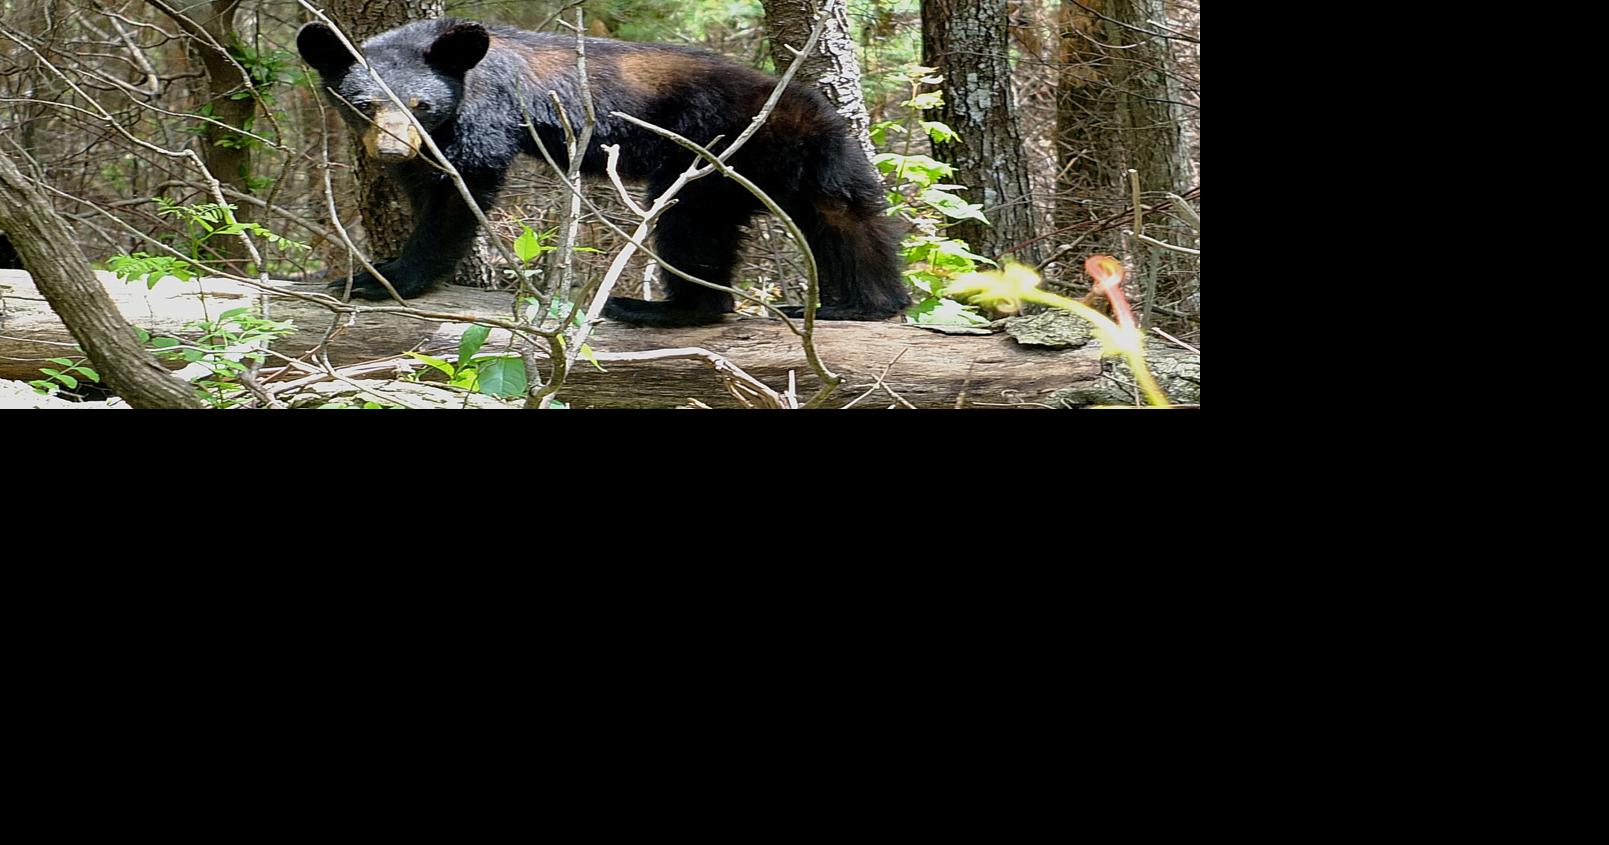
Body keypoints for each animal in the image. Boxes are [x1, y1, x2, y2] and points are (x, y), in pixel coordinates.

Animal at [295, 17, 909, 327]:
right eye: (362, 104)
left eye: (421, 105)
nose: (392, 150)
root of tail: (807, 117)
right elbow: (430, 185)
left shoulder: (485, 106)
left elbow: (462, 185)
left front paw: (387, 277)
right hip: (810, 174)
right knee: (849, 224)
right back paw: (863, 303)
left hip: (714, 159)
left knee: (690, 226)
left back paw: (657, 308)